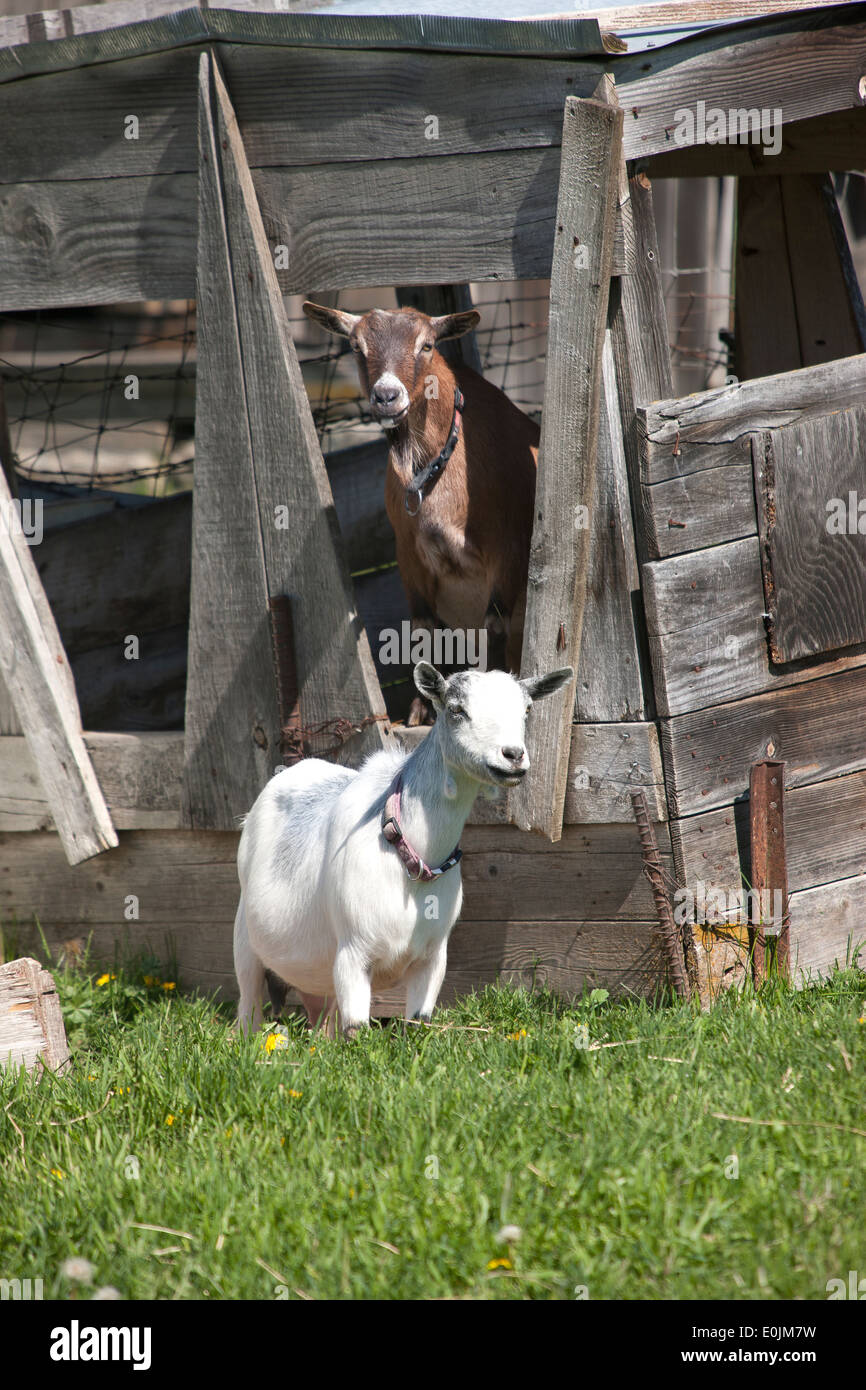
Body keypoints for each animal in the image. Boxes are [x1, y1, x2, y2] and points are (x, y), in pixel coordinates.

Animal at [233, 661, 572, 1038]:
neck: (409, 857)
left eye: (527, 710)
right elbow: (356, 1032)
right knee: (248, 1005)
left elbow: (418, 1024)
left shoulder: (433, 958)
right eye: (456, 710)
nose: (513, 756)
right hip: (245, 940)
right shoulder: (352, 954)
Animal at [302, 301, 539, 724]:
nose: (387, 396)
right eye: (356, 346)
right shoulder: (410, 553)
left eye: (427, 345)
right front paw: (421, 710)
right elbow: (424, 629)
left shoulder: (507, 550)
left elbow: (496, 626)